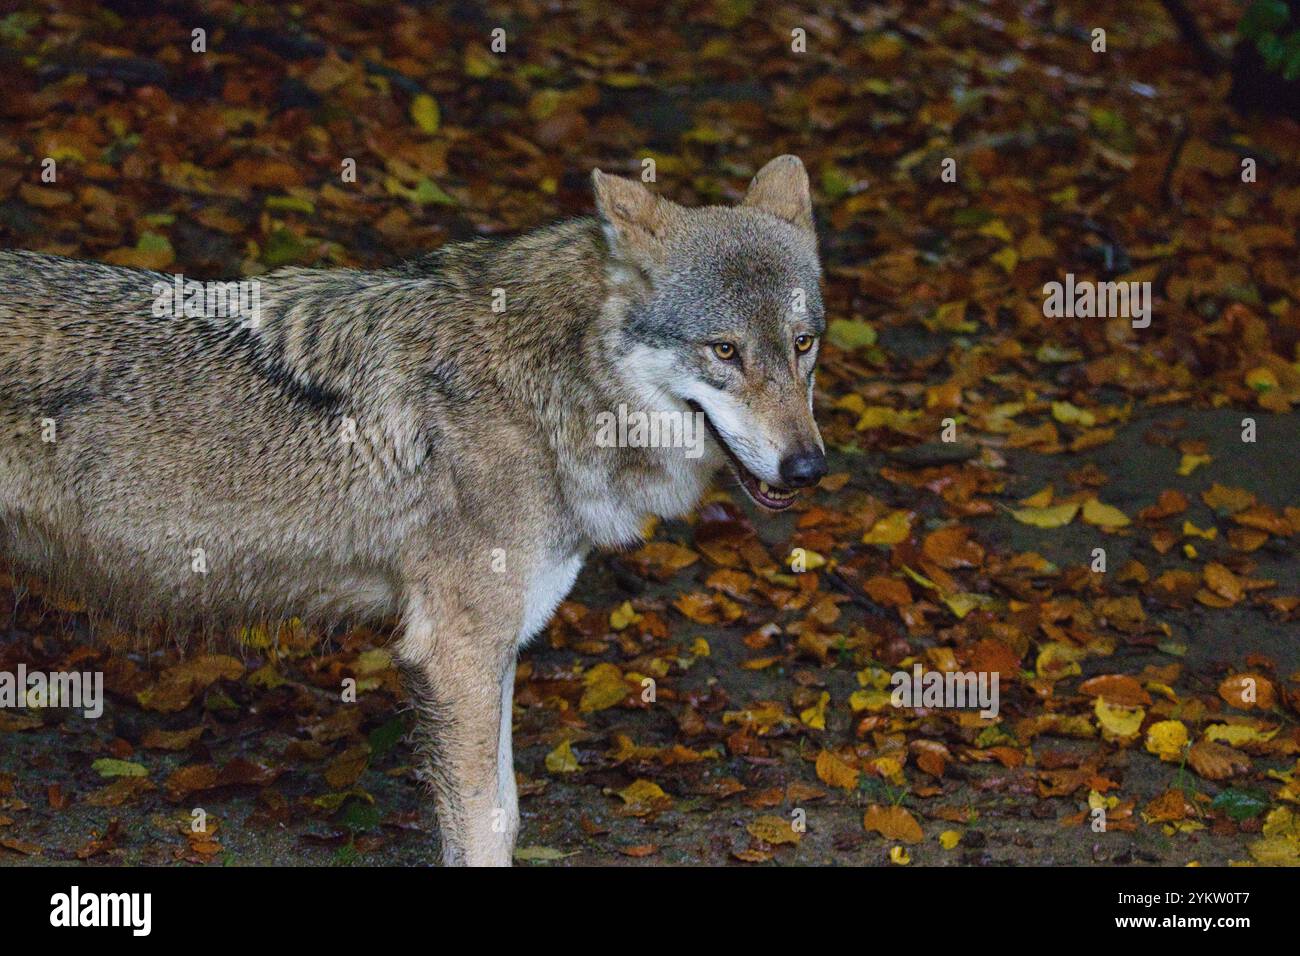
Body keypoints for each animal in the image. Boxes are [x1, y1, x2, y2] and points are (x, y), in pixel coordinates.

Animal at [0, 155, 826, 865]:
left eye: (803, 344)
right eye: (724, 351)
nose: (809, 467)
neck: (543, 387)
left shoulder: (495, 644)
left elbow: (509, 812)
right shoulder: (456, 648)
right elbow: (484, 826)